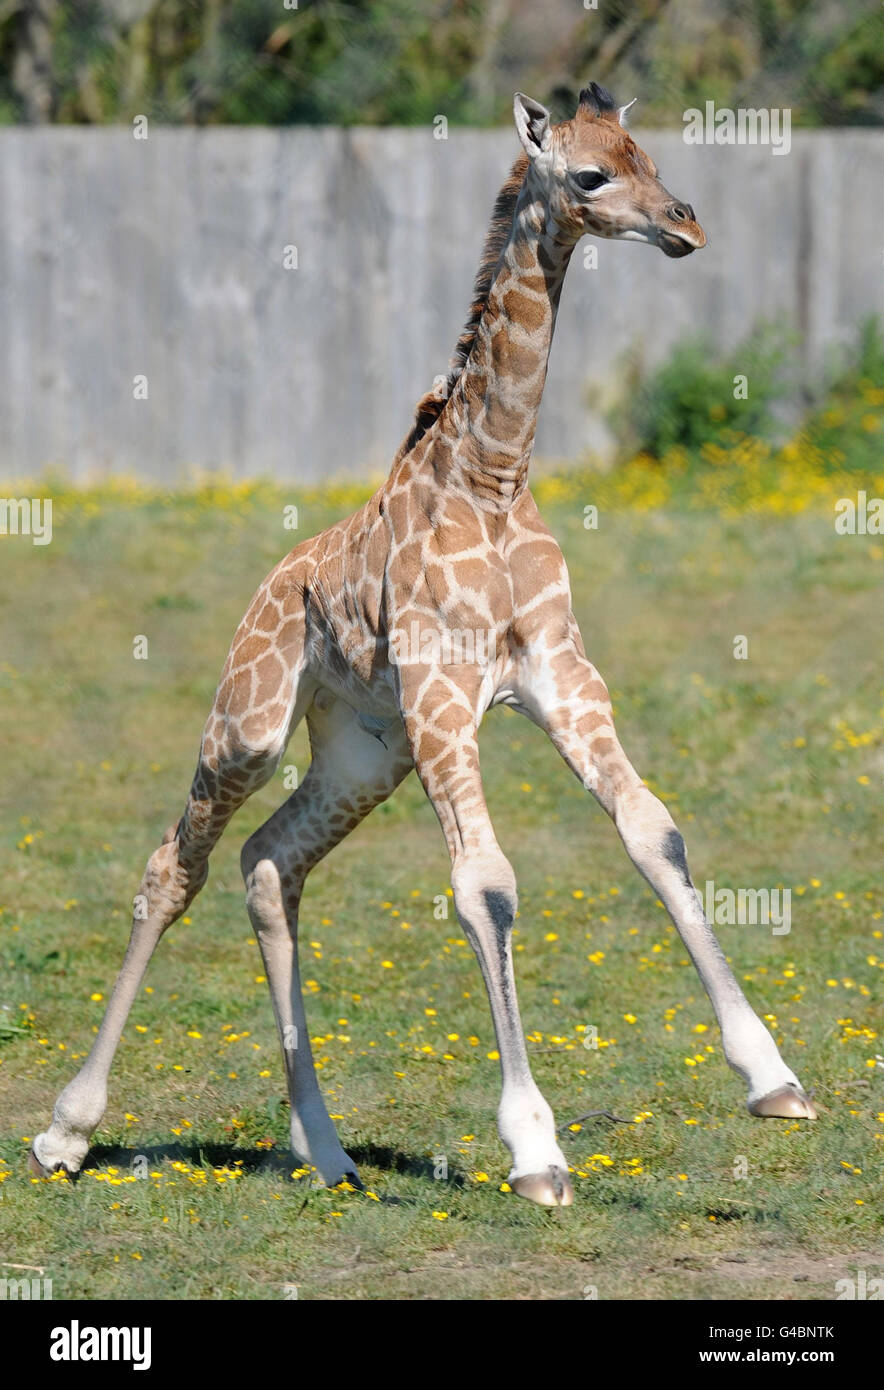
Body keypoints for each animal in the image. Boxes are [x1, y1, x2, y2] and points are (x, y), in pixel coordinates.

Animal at [32, 84, 816, 1207]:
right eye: (590, 175)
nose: (685, 226)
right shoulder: (448, 697)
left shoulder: (560, 675)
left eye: (650, 156)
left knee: (269, 863)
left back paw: (322, 1148)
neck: (490, 475)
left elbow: (652, 831)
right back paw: (67, 1129)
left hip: (364, 749)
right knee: (172, 867)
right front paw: (535, 1150)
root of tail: (266, 586)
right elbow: (485, 886)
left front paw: (773, 1076)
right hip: (252, 725)